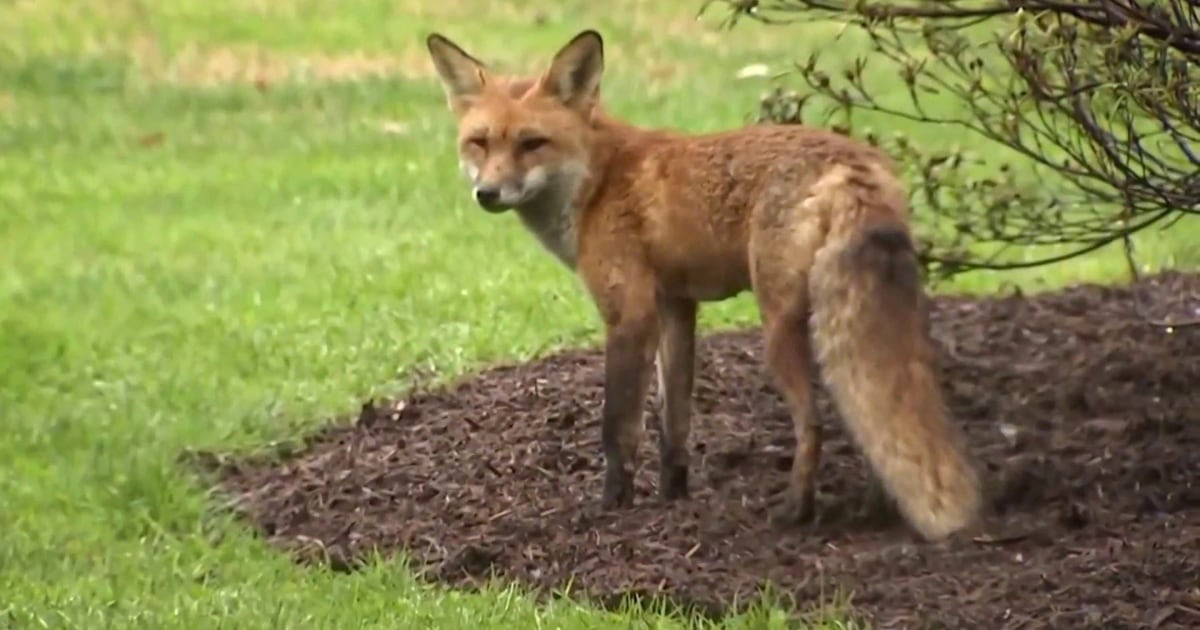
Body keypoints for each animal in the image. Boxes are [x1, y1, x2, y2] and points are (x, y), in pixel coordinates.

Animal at [424, 28, 985, 542]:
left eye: (532, 143)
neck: (598, 182)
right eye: (479, 142)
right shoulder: (675, 307)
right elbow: (675, 423)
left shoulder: (629, 314)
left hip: (779, 326)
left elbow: (618, 429)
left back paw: (795, 512)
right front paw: (674, 499)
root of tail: (854, 164)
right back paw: (874, 510)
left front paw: (612, 508)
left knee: (814, 424)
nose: (487, 193)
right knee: (869, 414)